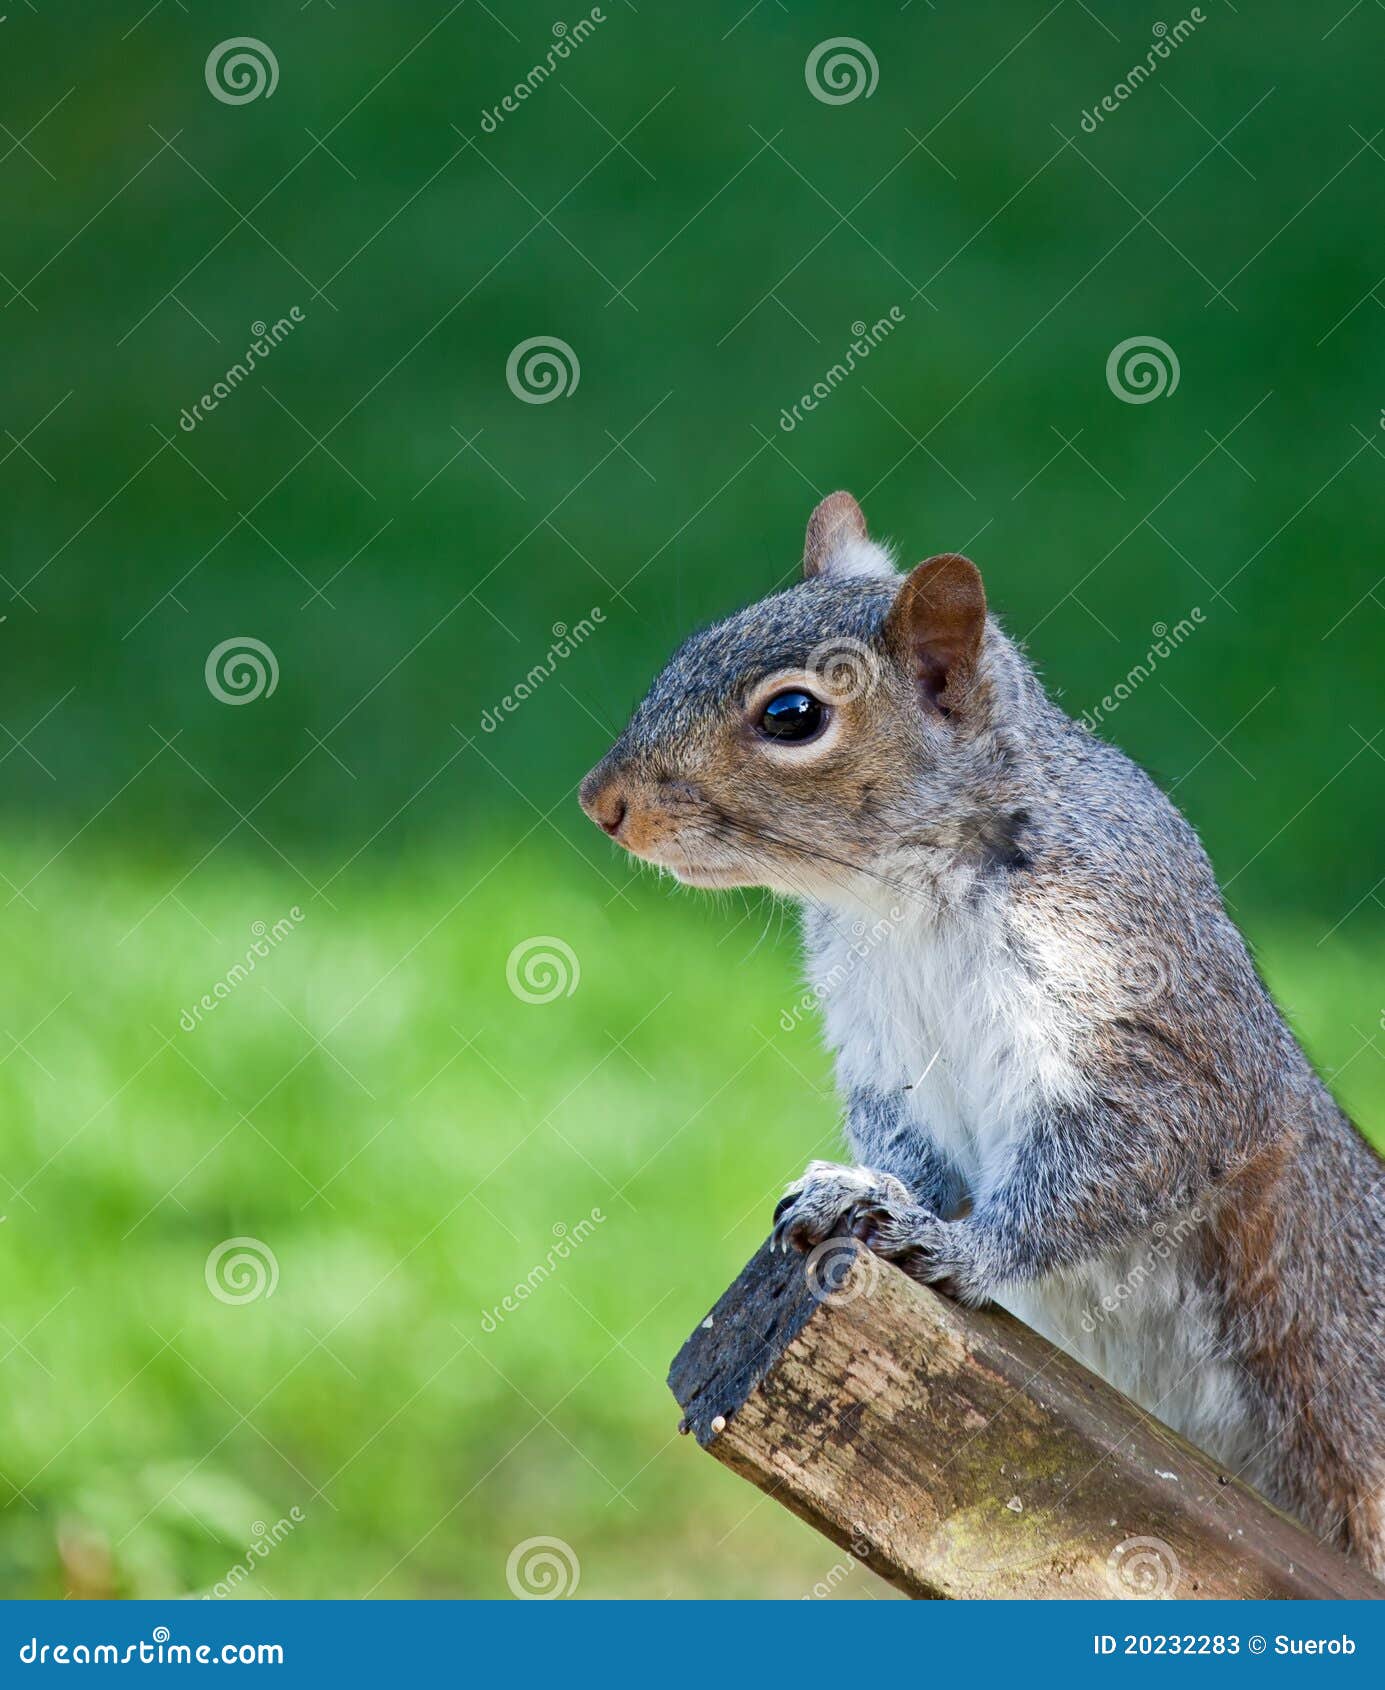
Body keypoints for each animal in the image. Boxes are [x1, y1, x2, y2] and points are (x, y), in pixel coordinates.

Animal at [579, 492, 1384, 1575]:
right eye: (689, 649)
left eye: (792, 715)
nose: (601, 801)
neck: (898, 897)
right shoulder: (884, 1047)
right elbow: (912, 1146)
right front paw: (856, 1189)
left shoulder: (1142, 1017)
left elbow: (1120, 1164)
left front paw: (957, 1245)